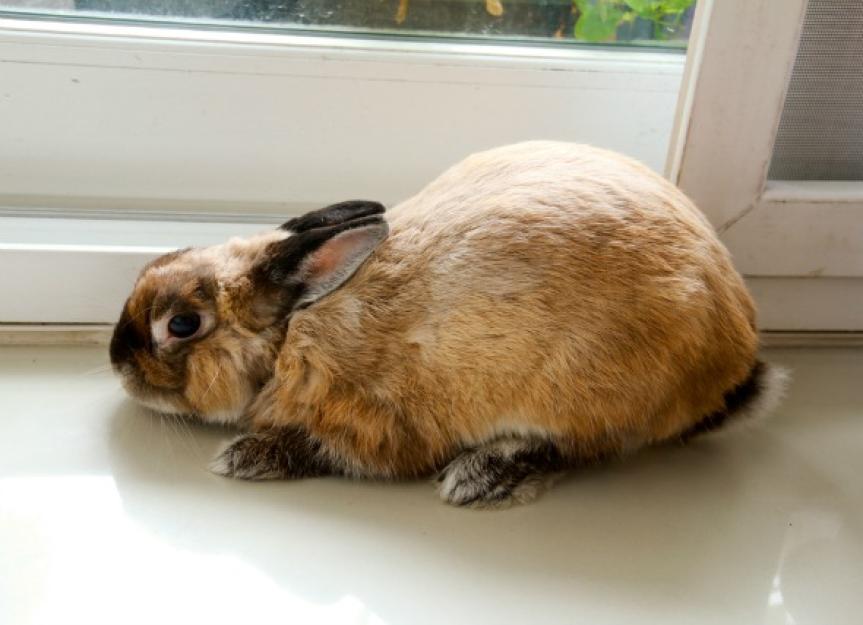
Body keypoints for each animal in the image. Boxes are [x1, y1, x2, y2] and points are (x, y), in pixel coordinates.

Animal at [110, 141, 787, 507]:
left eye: (183, 324)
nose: (117, 363)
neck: (291, 337)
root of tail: (728, 362)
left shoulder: (379, 425)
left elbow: (334, 451)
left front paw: (245, 457)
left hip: (583, 397)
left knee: (576, 448)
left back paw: (480, 478)